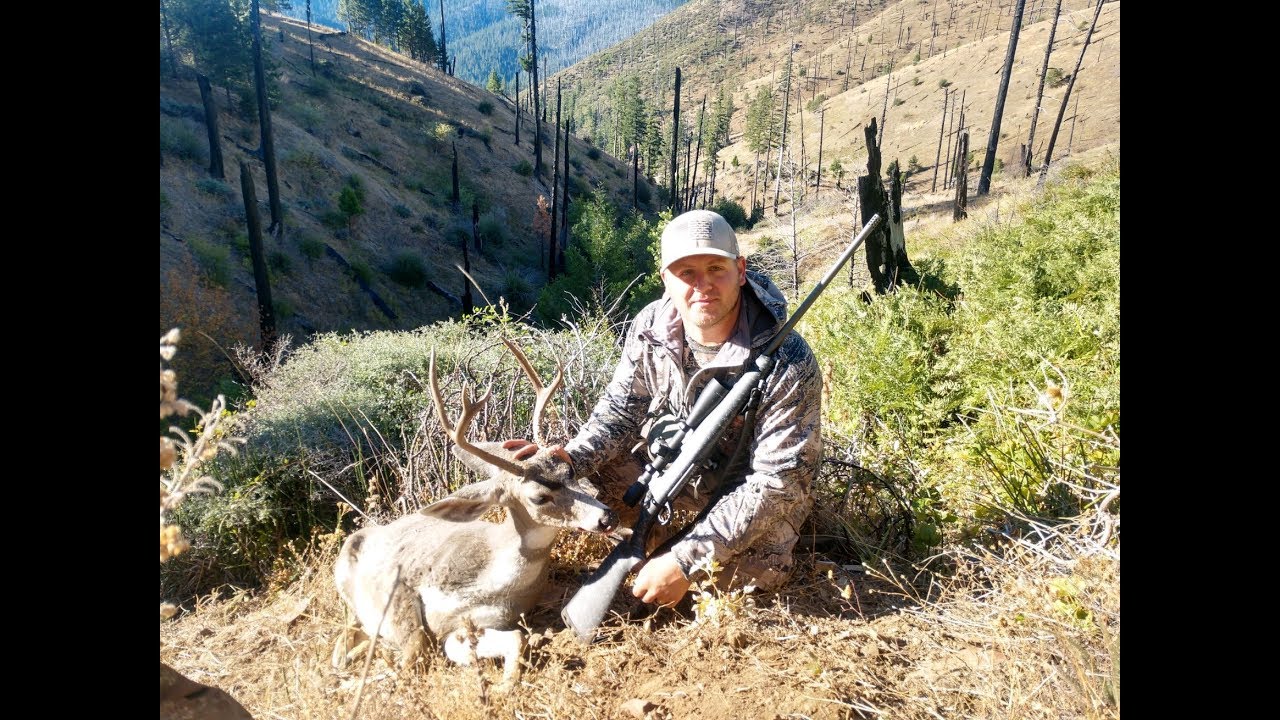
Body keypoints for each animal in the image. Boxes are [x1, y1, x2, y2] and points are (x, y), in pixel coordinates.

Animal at [332, 339, 618, 687]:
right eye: (538, 497)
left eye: (570, 470)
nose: (606, 517)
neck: (489, 579)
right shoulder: (404, 589)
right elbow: (413, 654)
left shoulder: (480, 622)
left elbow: (513, 639)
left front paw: (506, 684)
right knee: (346, 642)